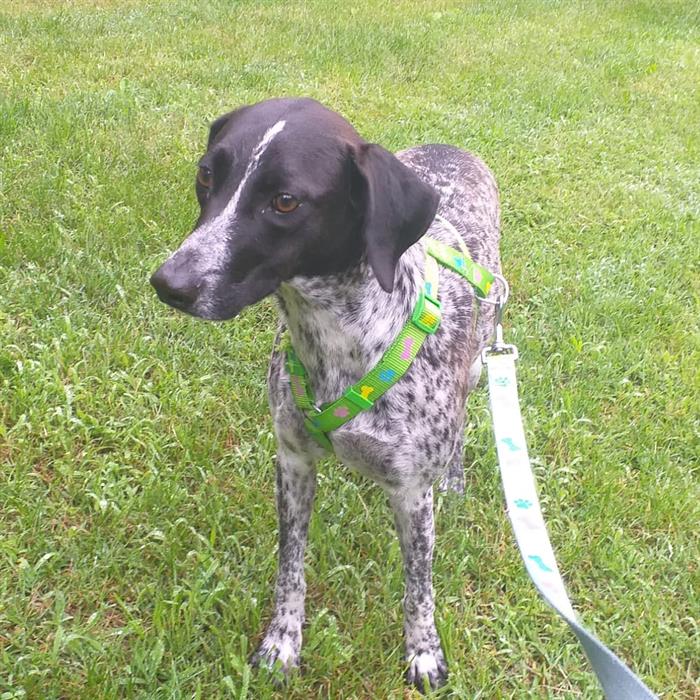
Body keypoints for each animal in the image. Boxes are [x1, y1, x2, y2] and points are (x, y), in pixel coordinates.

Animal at [150, 98, 500, 696]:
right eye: (206, 175)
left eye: (286, 201)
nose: (169, 283)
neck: (340, 339)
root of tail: (452, 149)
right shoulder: (292, 462)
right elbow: (290, 568)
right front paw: (282, 642)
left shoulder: (412, 492)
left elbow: (418, 588)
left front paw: (424, 653)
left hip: (481, 358)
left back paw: (454, 477)